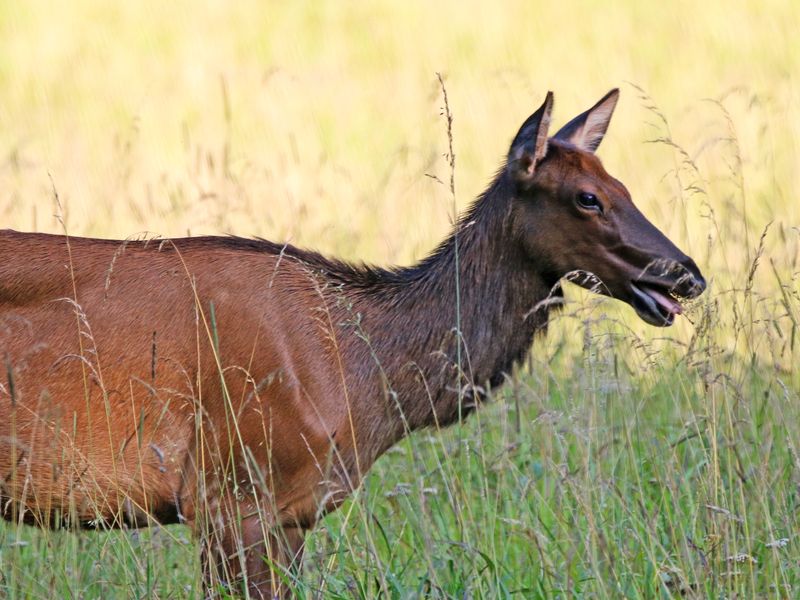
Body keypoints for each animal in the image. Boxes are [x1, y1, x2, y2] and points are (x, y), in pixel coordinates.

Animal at [0, 89, 705, 598]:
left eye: (624, 187)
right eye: (587, 198)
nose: (687, 274)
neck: (364, 378)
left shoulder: (288, 511)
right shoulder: (233, 493)